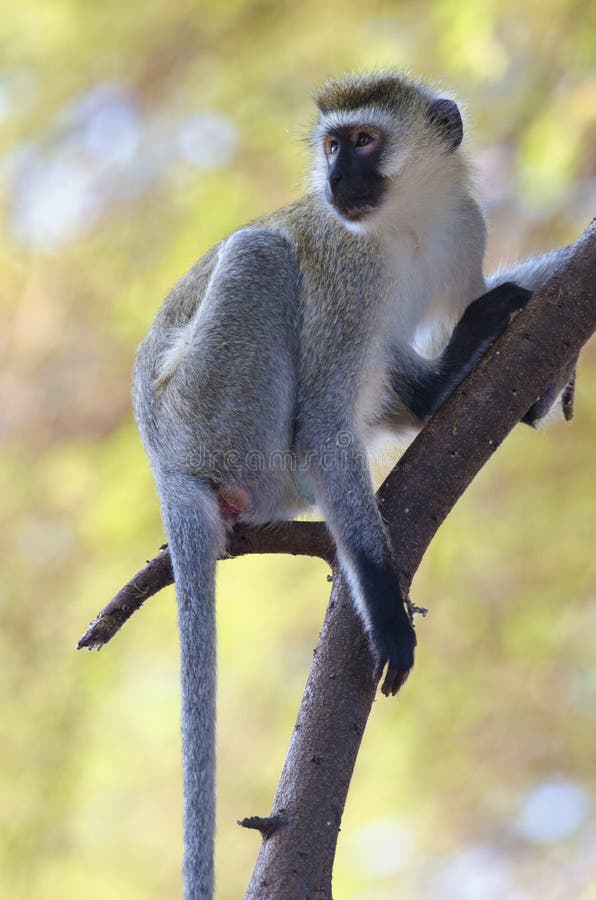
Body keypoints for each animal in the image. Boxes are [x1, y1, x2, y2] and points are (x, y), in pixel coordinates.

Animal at [132, 71, 570, 898]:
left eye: (363, 141)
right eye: (333, 145)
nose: (338, 179)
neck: (408, 223)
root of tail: (164, 458)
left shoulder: (465, 228)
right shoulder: (346, 271)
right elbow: (326, 422)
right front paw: (386, 608)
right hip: (214, 418)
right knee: (261, 255)